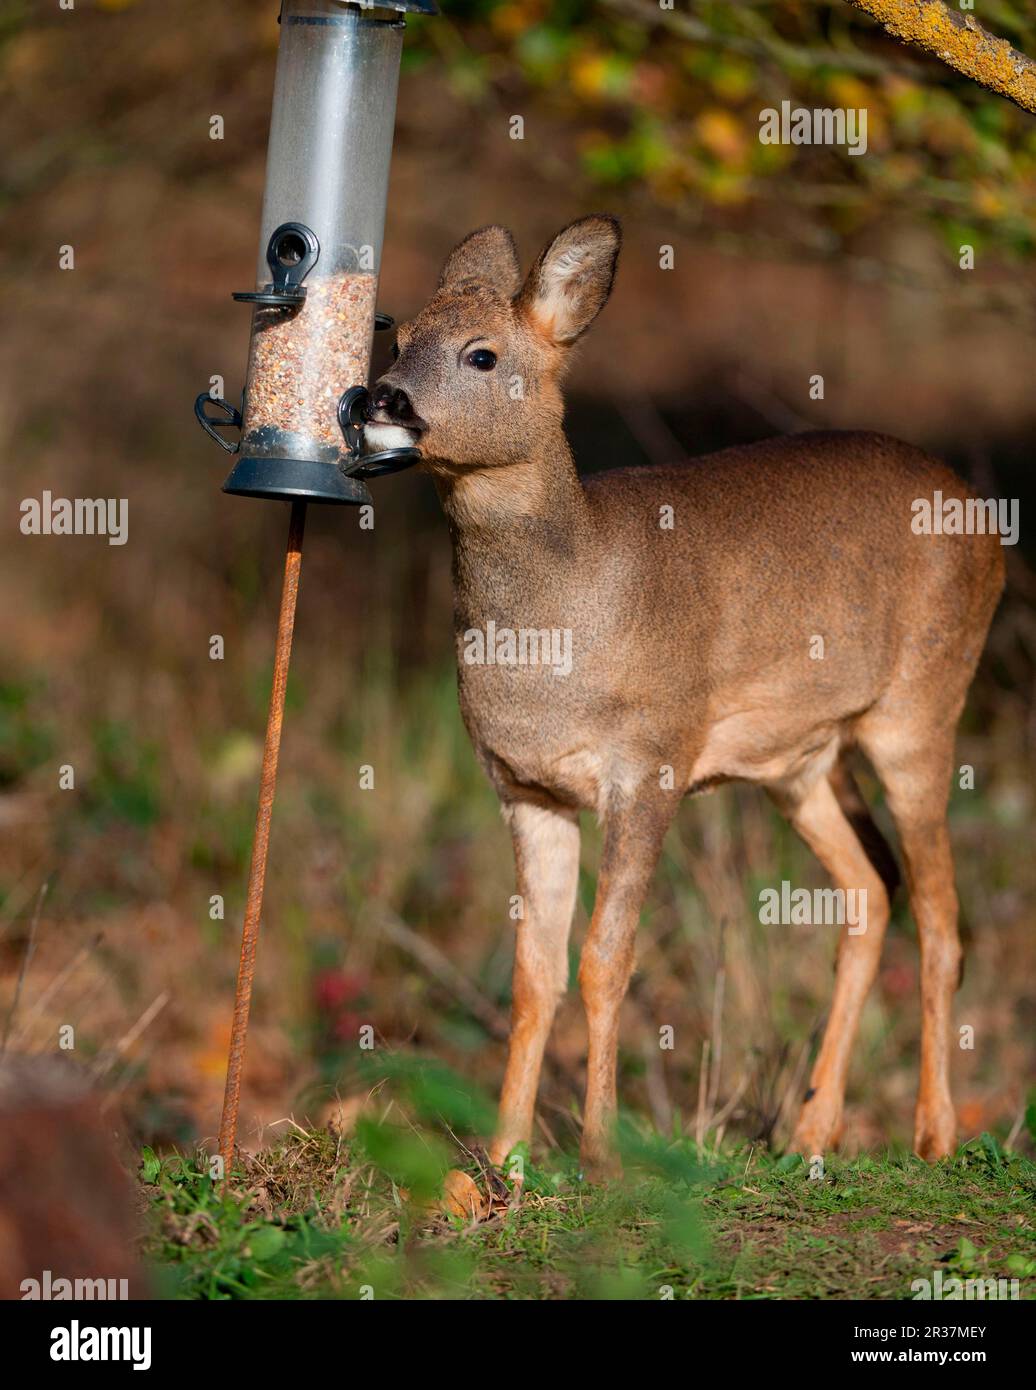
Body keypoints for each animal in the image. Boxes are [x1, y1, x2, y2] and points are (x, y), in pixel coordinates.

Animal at [364, 215, 1005, 1181]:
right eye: (397, 335)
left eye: (482, 354)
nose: (382, 399)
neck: (561, 621)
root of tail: (988, 521)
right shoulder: (526, 788)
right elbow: (533, 972)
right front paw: (501, 1163)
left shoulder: (651, 763)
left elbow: (605, 957)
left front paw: (600, 1155)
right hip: (801, 762)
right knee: (872, 886)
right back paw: (811, 1133)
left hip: (921, 704)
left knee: (940, 915)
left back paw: (934, 1136)